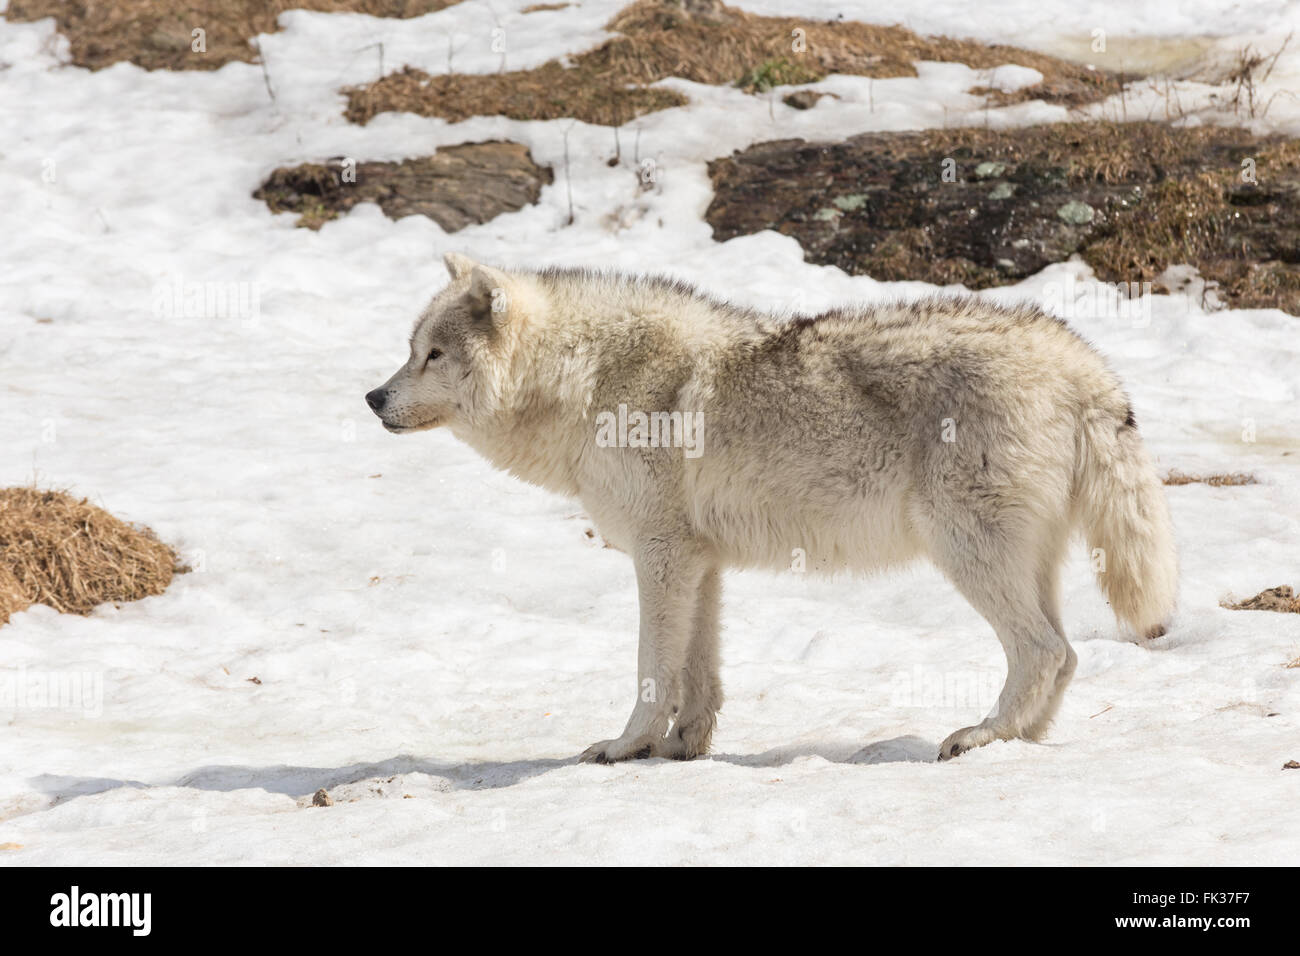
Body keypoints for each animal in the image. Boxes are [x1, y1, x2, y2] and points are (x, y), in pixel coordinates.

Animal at [366, 253, 1177, 762]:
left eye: (433, 355)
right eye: (409, 349)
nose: (373, 397)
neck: (588, 380)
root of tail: (1083, 363)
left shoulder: (661, 557)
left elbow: (651, 671)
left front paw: (623, 747)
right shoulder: (699, 564)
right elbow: (698, 677)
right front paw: (679, 749)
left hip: (966, 553)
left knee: (1044, 650)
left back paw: (980, 737)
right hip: (1021, 561)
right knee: (1065, 654)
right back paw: (1019, 742)